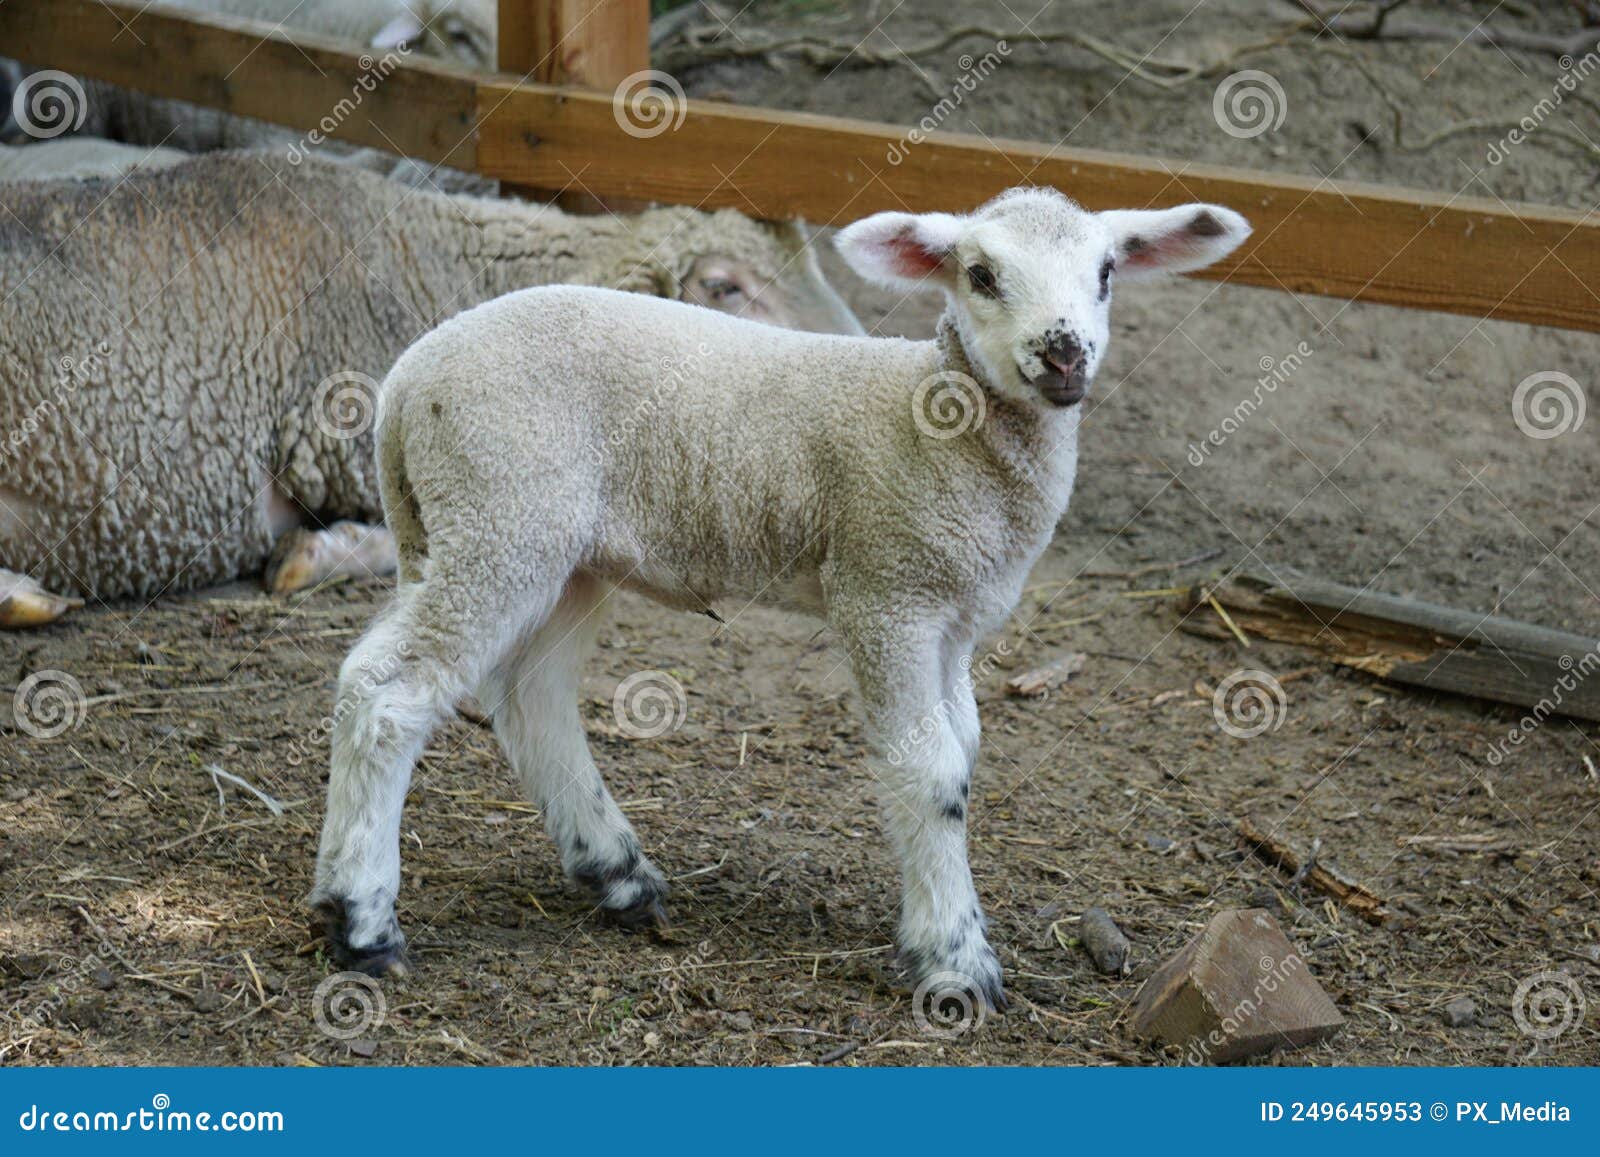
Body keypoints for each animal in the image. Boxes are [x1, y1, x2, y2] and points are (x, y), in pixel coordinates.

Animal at [309, 186, 1251, 1008]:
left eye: (1107, 271)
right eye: (981, 274)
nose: (1064, 352)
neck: (940, 425)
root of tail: (406, 383)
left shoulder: (953, 615)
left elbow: (965, 752)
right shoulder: (887, 588)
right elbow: (928, 768)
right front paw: (954, 959)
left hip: (563, 552)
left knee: (529, 693)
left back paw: (617, 873)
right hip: (500, 515)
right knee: (387, 689)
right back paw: (361, 921)